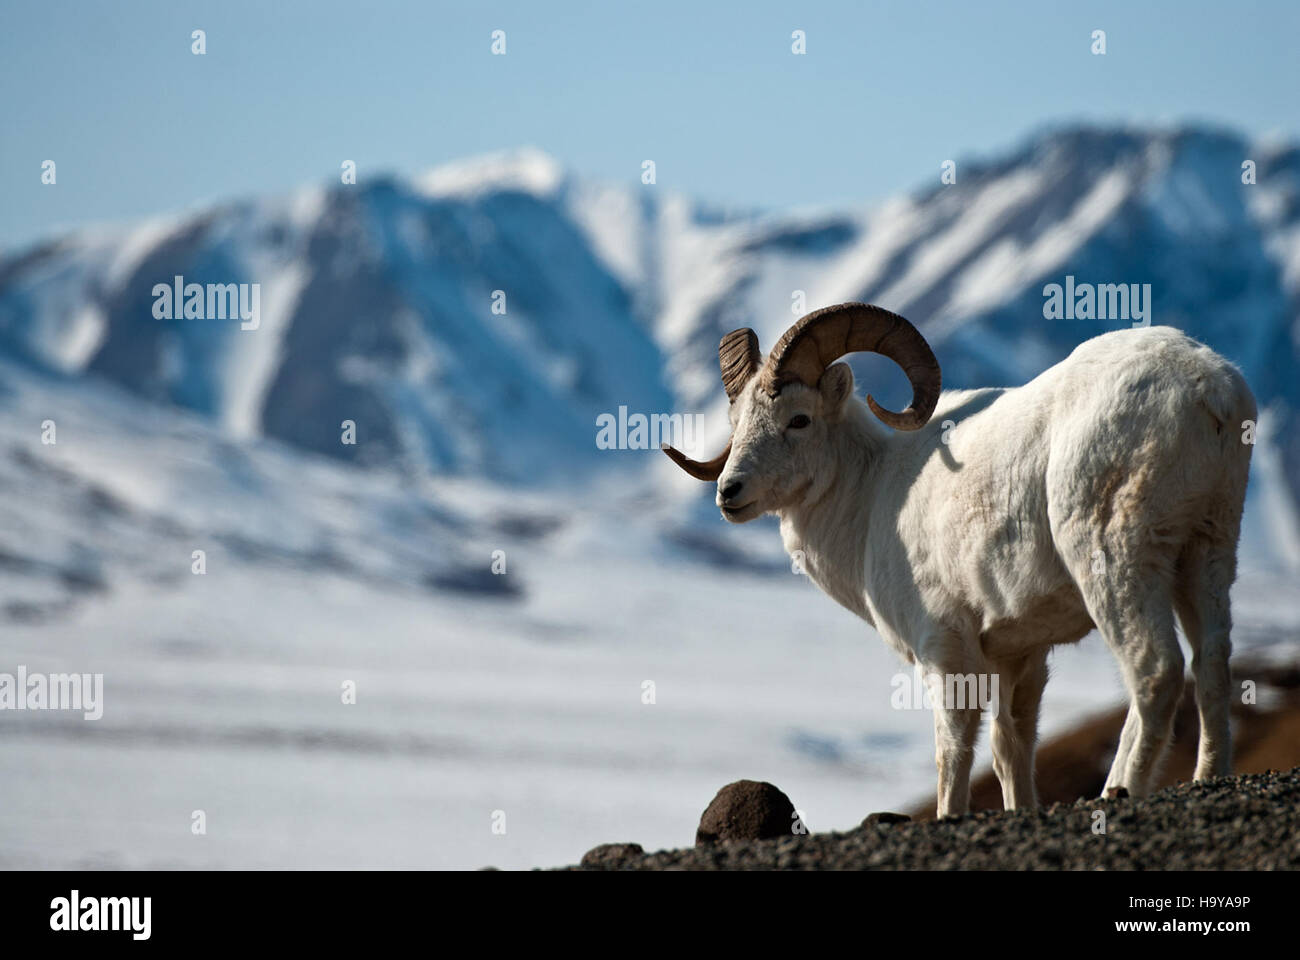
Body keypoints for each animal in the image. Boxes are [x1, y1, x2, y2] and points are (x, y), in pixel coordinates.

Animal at [664, 303, 1256, 818]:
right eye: (737, 420)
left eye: (799, 419)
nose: (729, 493)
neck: (871, 495)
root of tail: (1210, 390)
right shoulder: (1021, 657)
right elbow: (1010, 748)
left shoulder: (945, 652)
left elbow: (952, 755)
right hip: (1207, 552)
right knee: (1211, 664)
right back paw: (1208, 777)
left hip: (1115, 561)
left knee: (1155, 671)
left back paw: (1120, 791)